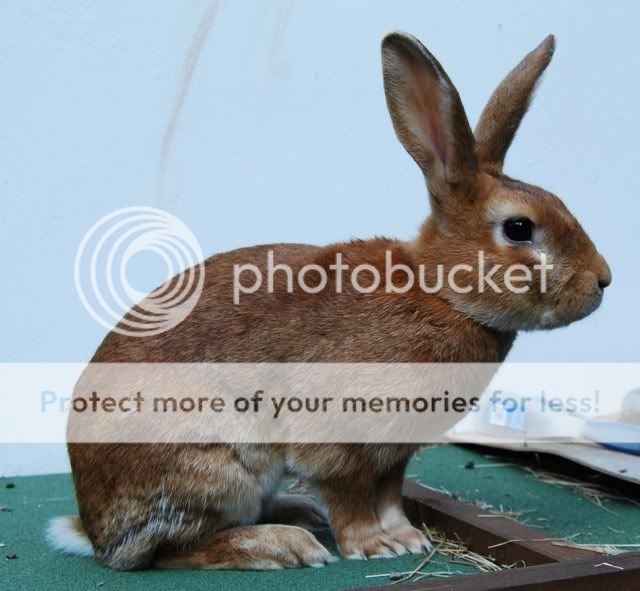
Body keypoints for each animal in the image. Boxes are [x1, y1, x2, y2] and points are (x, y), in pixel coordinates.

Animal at [48, 32, 611, 571]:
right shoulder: (340, 442)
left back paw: (299, 513)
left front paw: (407, 537)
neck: (440, 291)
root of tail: (96, 531)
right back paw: (283, 545)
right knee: (167, 553)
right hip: (216, 467)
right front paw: (374, 546)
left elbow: (390, 495)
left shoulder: (394, 454)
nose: (603, 281)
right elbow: (349, 497)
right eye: (519, 229)